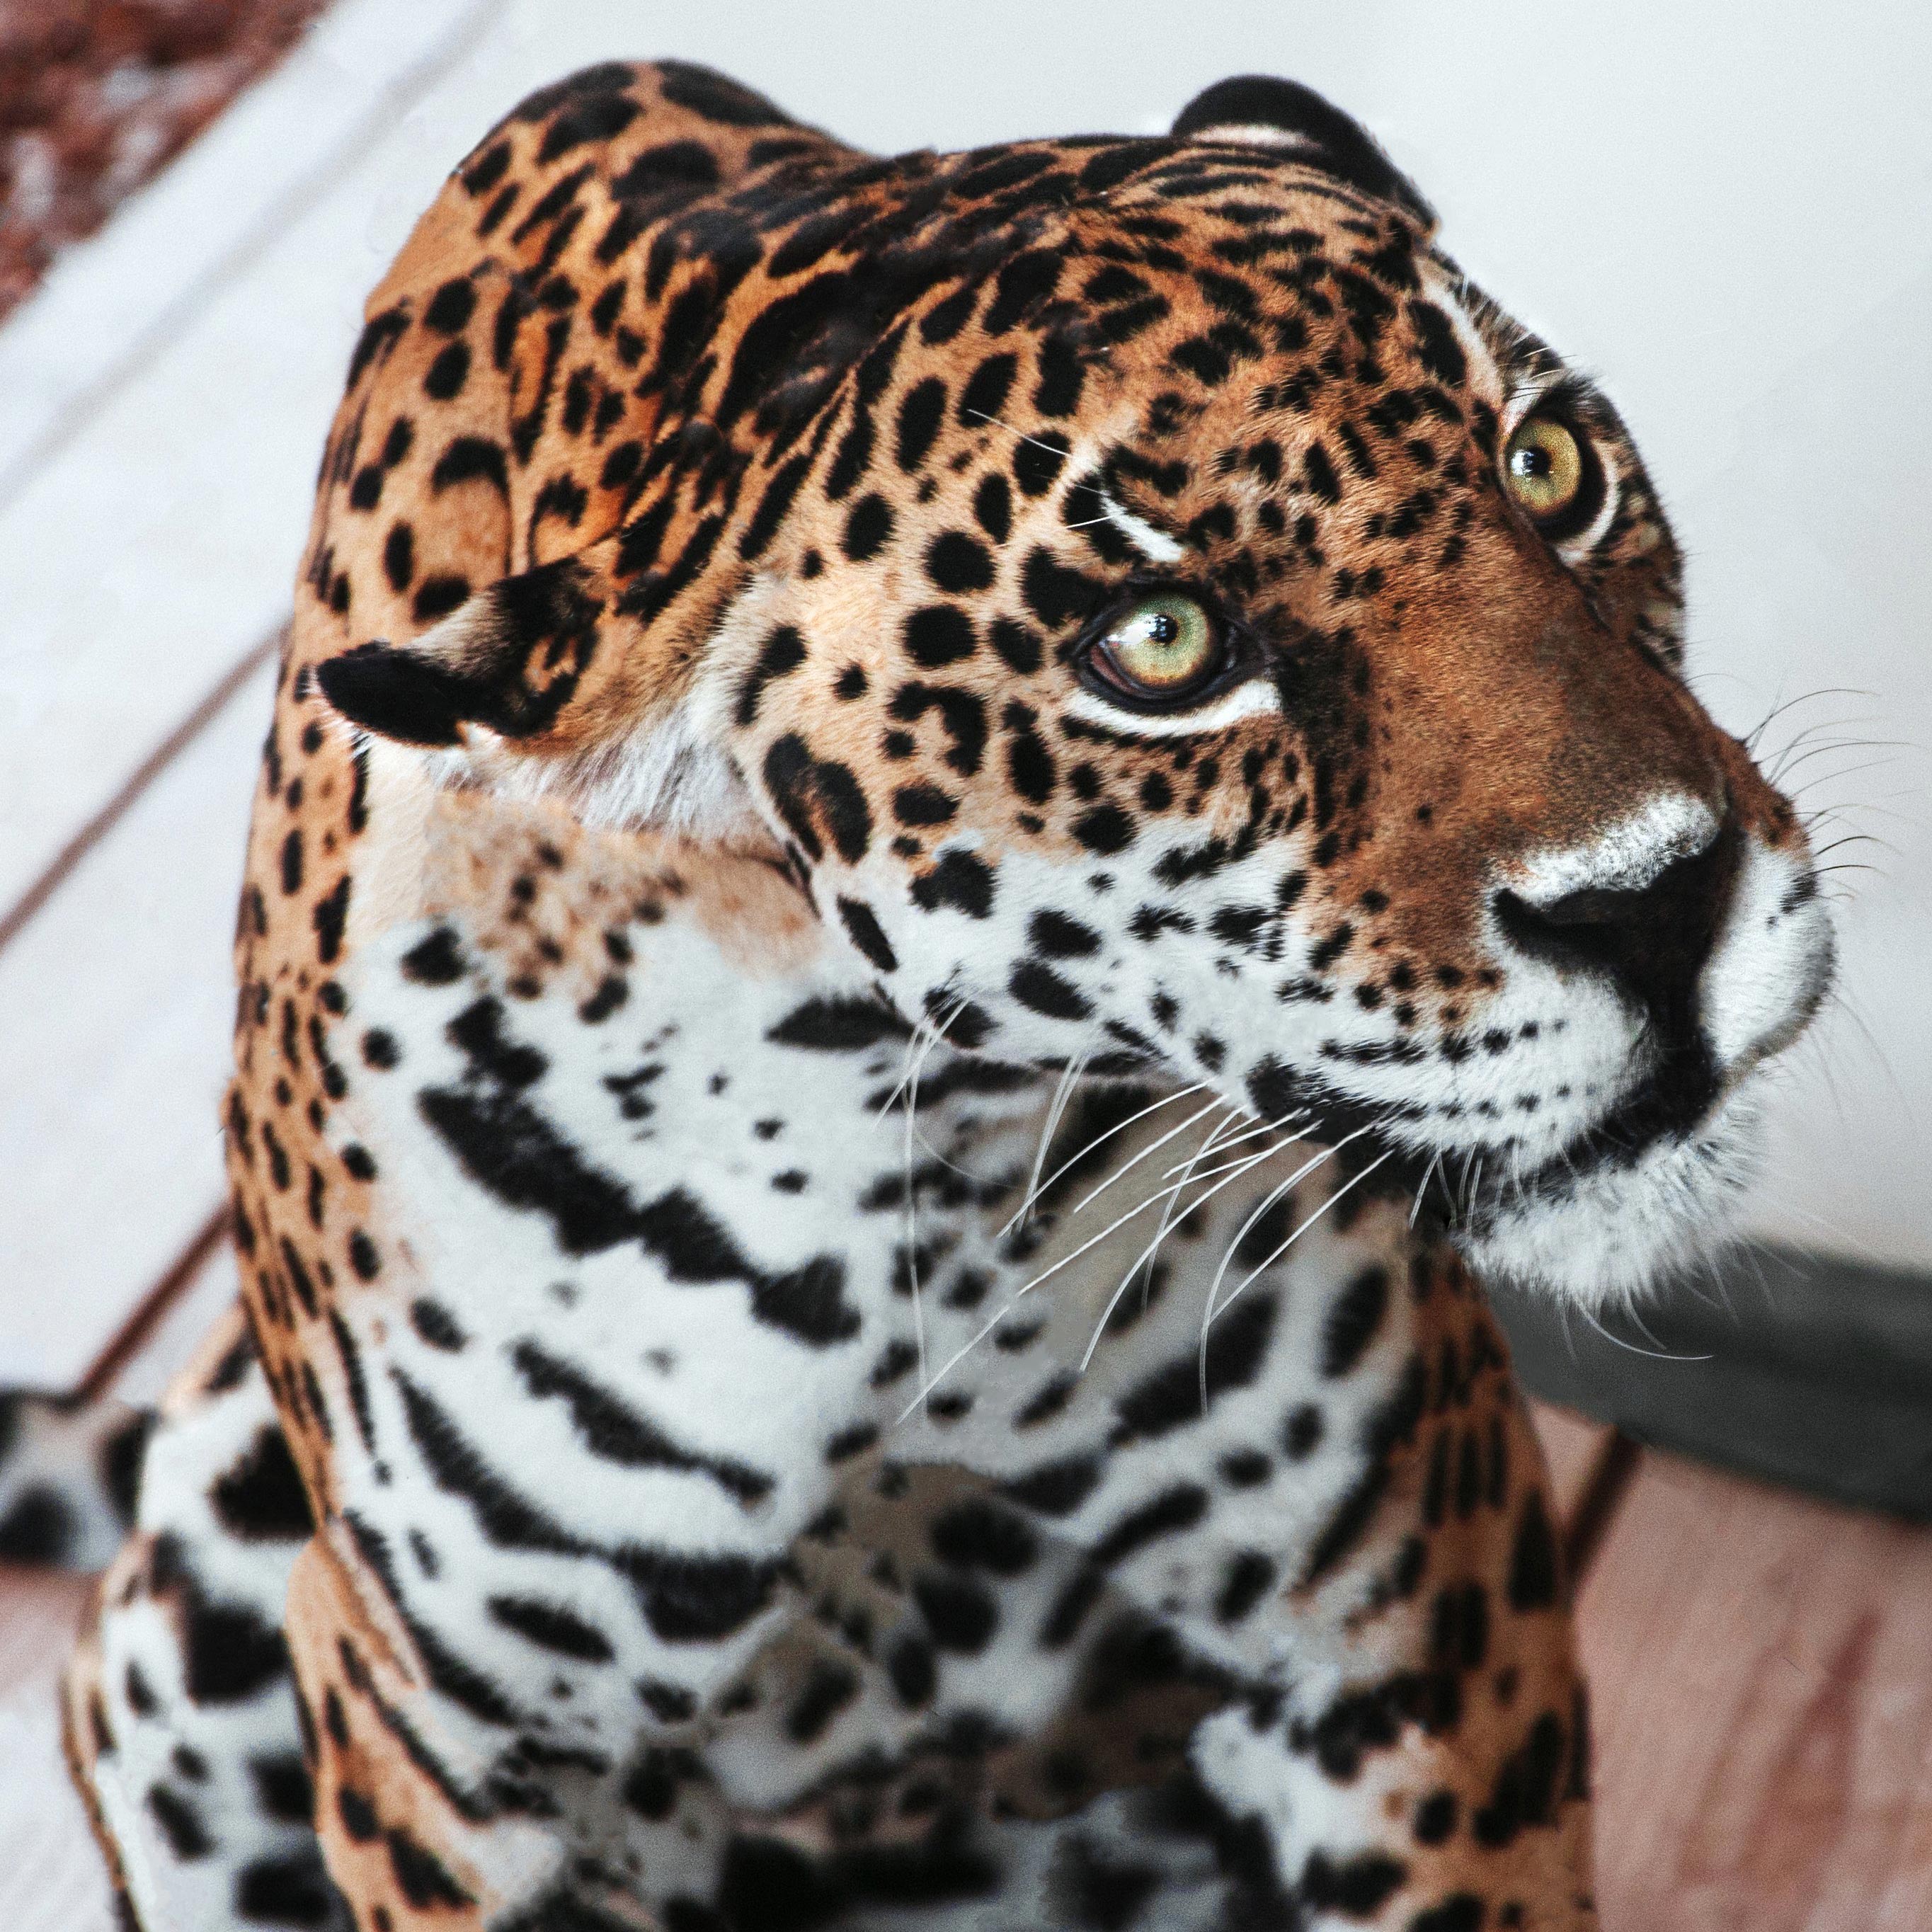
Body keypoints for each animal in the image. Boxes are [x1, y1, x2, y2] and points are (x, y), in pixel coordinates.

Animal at [42, 58, 1833, 1932]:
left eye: (1544, 463)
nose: (1659, 901)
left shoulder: (1405, 1596)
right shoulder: (450, 1755)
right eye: (1158, 642)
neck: (887, 1147)